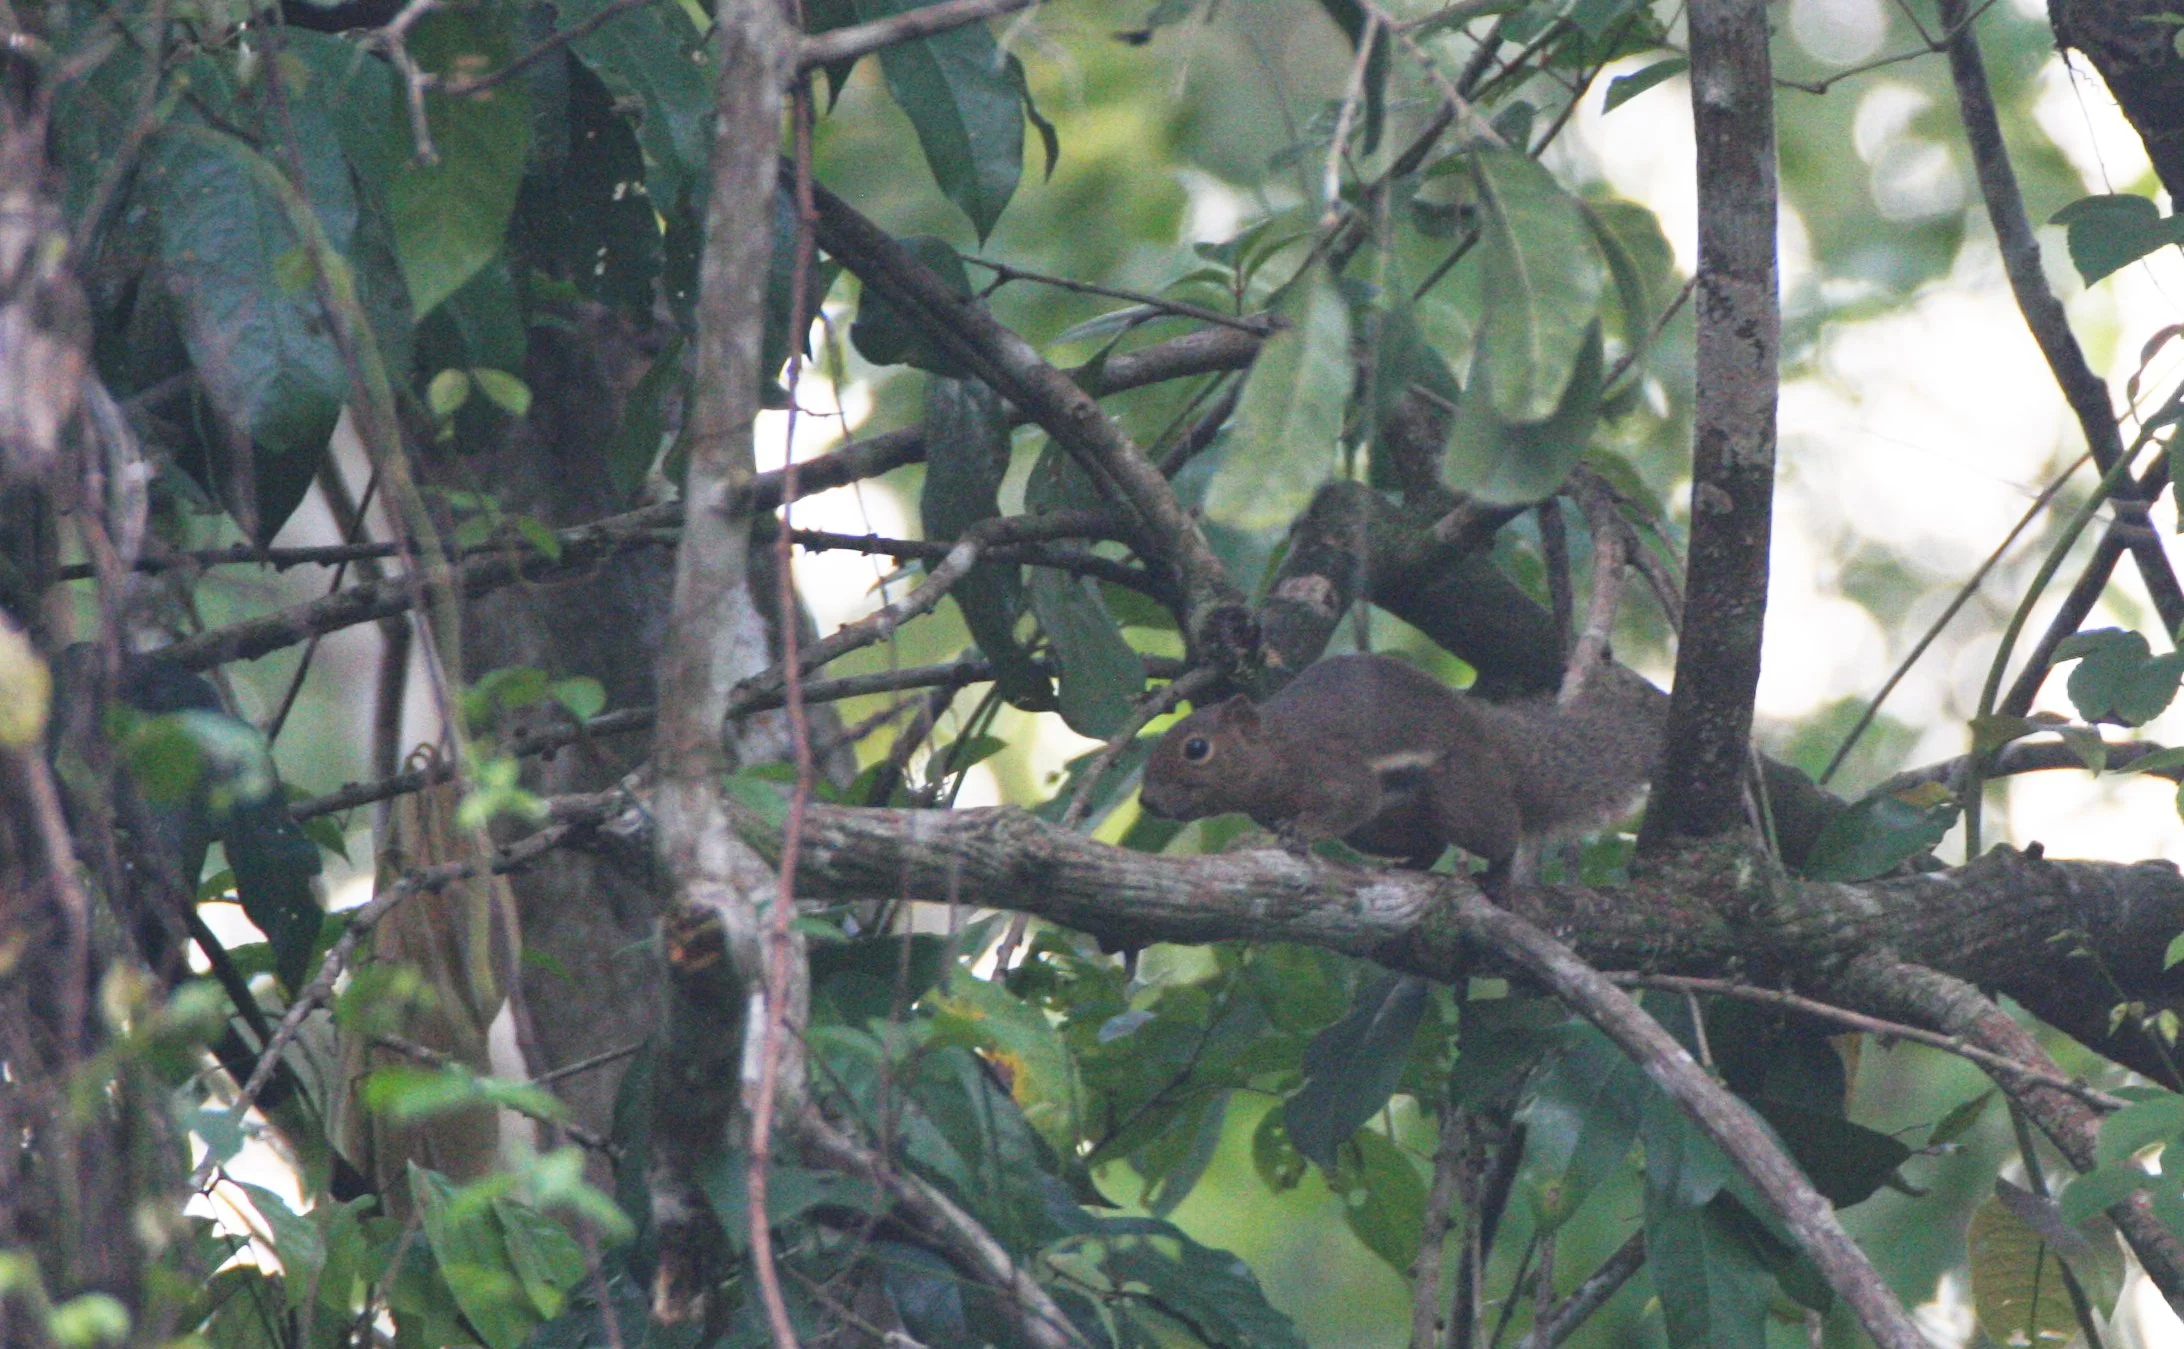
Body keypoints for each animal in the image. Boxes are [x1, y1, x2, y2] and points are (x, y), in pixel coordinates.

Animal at [1138, 653, 1666, 886]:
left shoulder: (1334, 767)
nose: (1146, 800)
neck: (1278, 748)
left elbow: (1352, 798)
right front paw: (1255, 839)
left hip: (1461, 794)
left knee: (1499, 835)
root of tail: (1494, 739)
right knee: (1428, 846)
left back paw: (1494, 874)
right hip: (1385, 828)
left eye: (1196, 748)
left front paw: (1300, 832)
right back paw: (1407, 867)